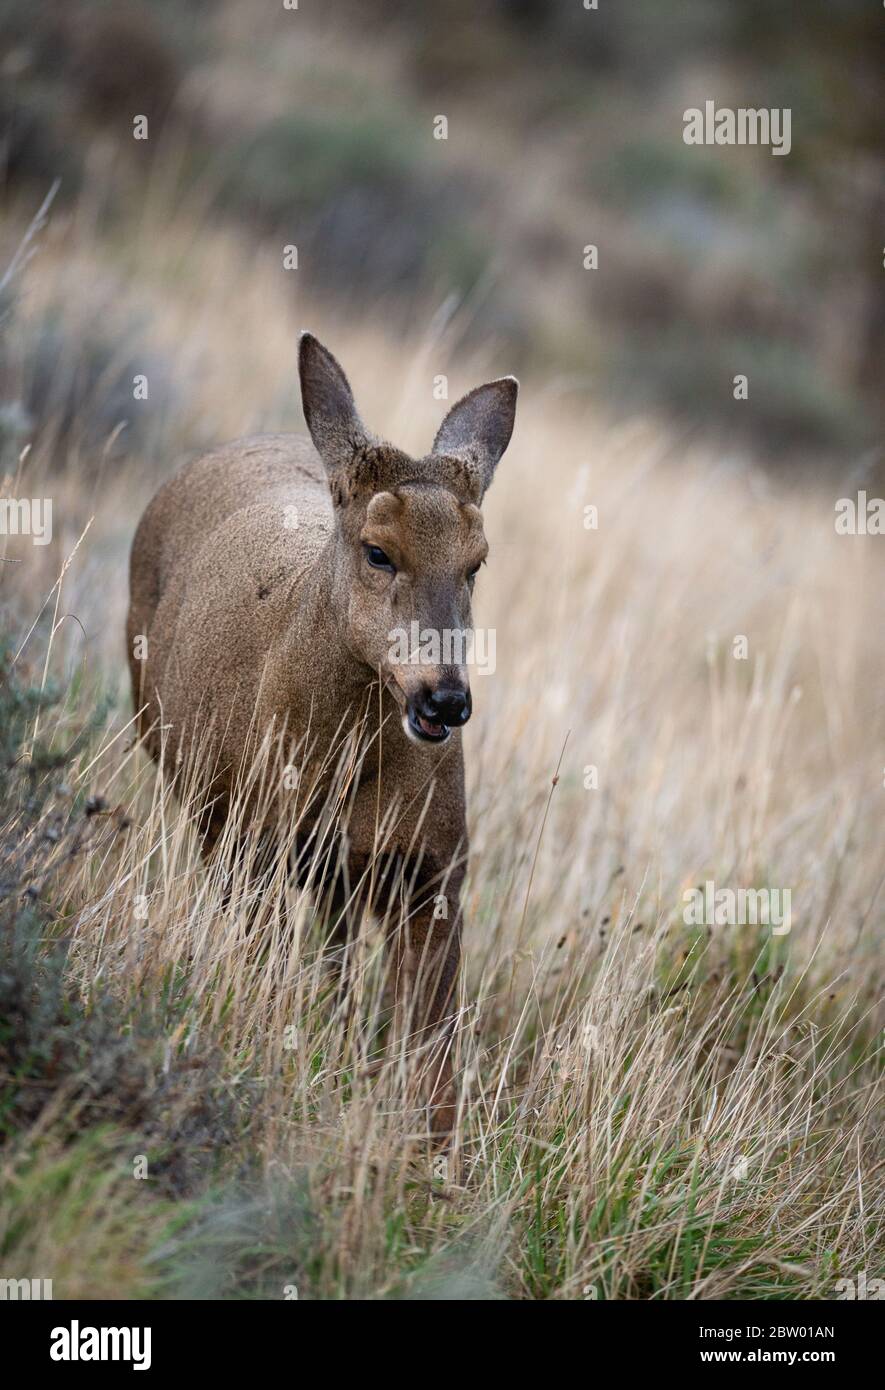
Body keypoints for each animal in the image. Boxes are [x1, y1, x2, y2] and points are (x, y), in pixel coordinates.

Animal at [127, 333, 518, 1135]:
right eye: (377, 550)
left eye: (476, 563)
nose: (445, 699)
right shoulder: (255, 846)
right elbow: (265, 984)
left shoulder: (436, 871)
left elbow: (434, 1059)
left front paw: (431, 1153)